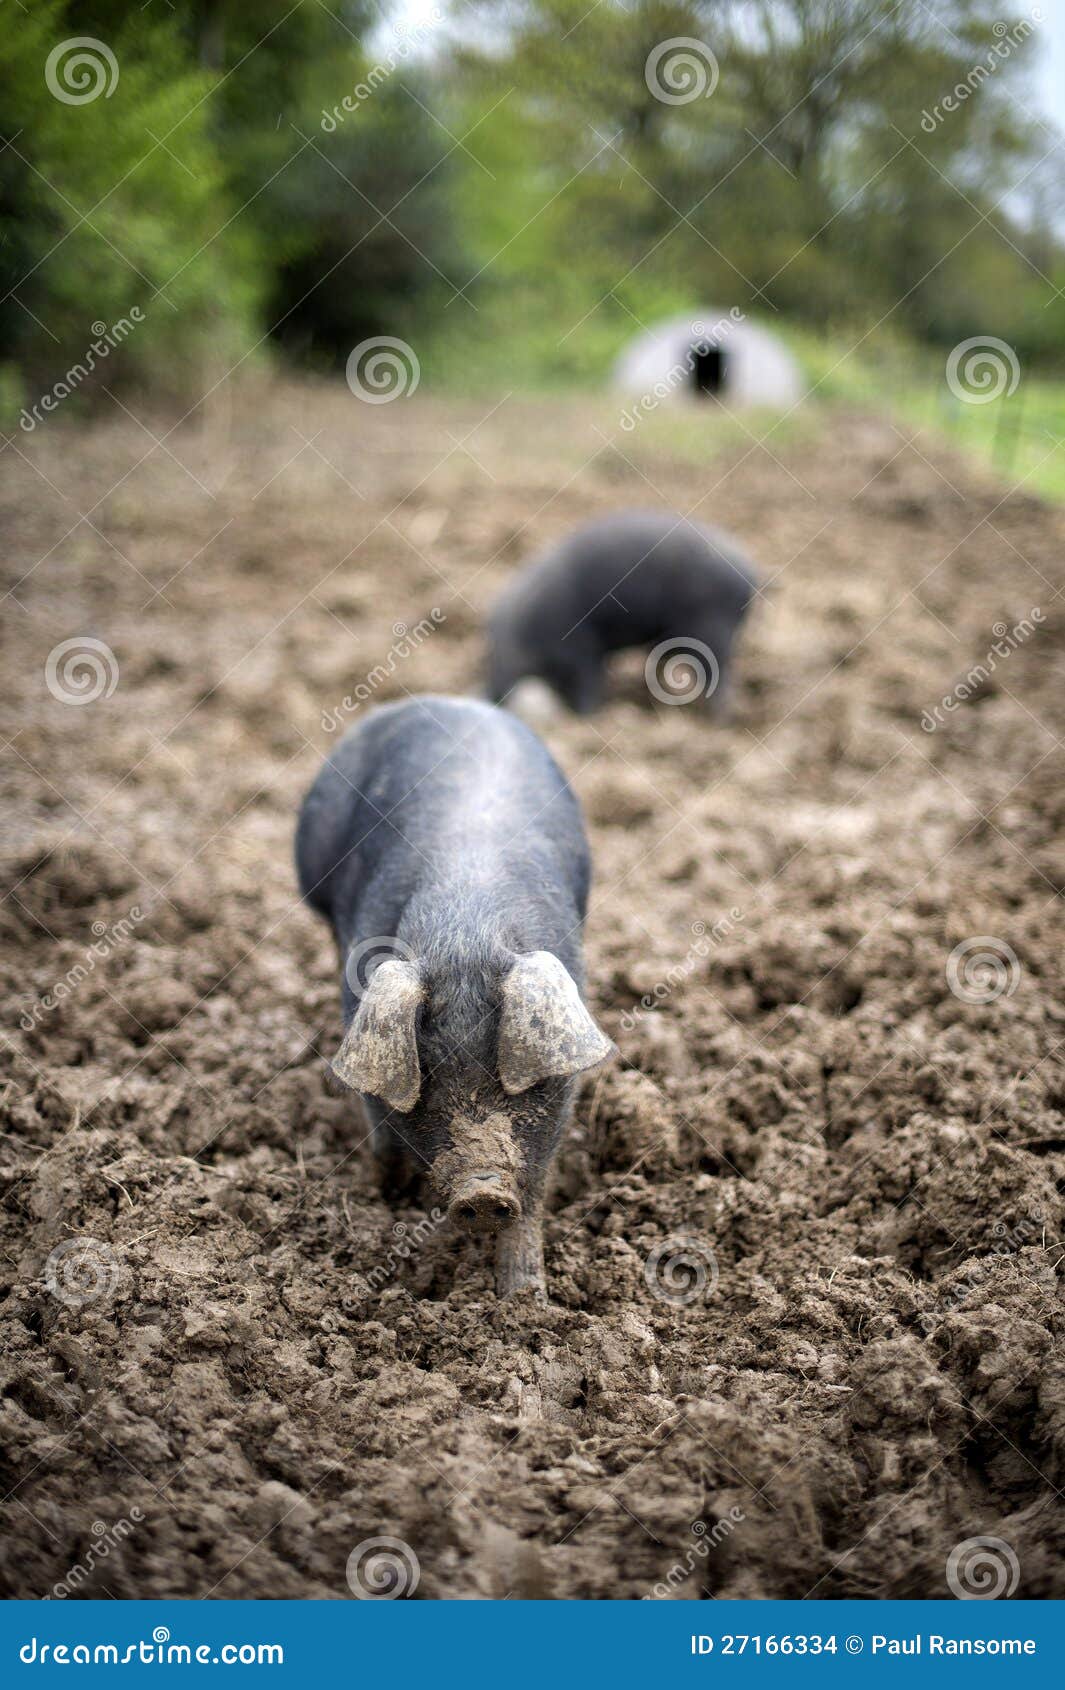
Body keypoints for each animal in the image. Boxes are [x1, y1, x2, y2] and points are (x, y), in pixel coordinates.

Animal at [295, 695, 614, 1297]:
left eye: (520, 1080)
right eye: (431, 1074)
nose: (482, 1192)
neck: (466, 929)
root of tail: (447, 699)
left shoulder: (555, 1112)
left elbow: (533, 1198)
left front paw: (524, 1302)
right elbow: (381, 1124)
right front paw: (387, 1197)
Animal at [487, 508, 758, 716]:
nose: (489, 693)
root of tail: (749, 572)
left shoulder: (580, 650)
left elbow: (589, 684)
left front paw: (587, 716)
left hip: (714, 627)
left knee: (719, 673)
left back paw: (717, 718)